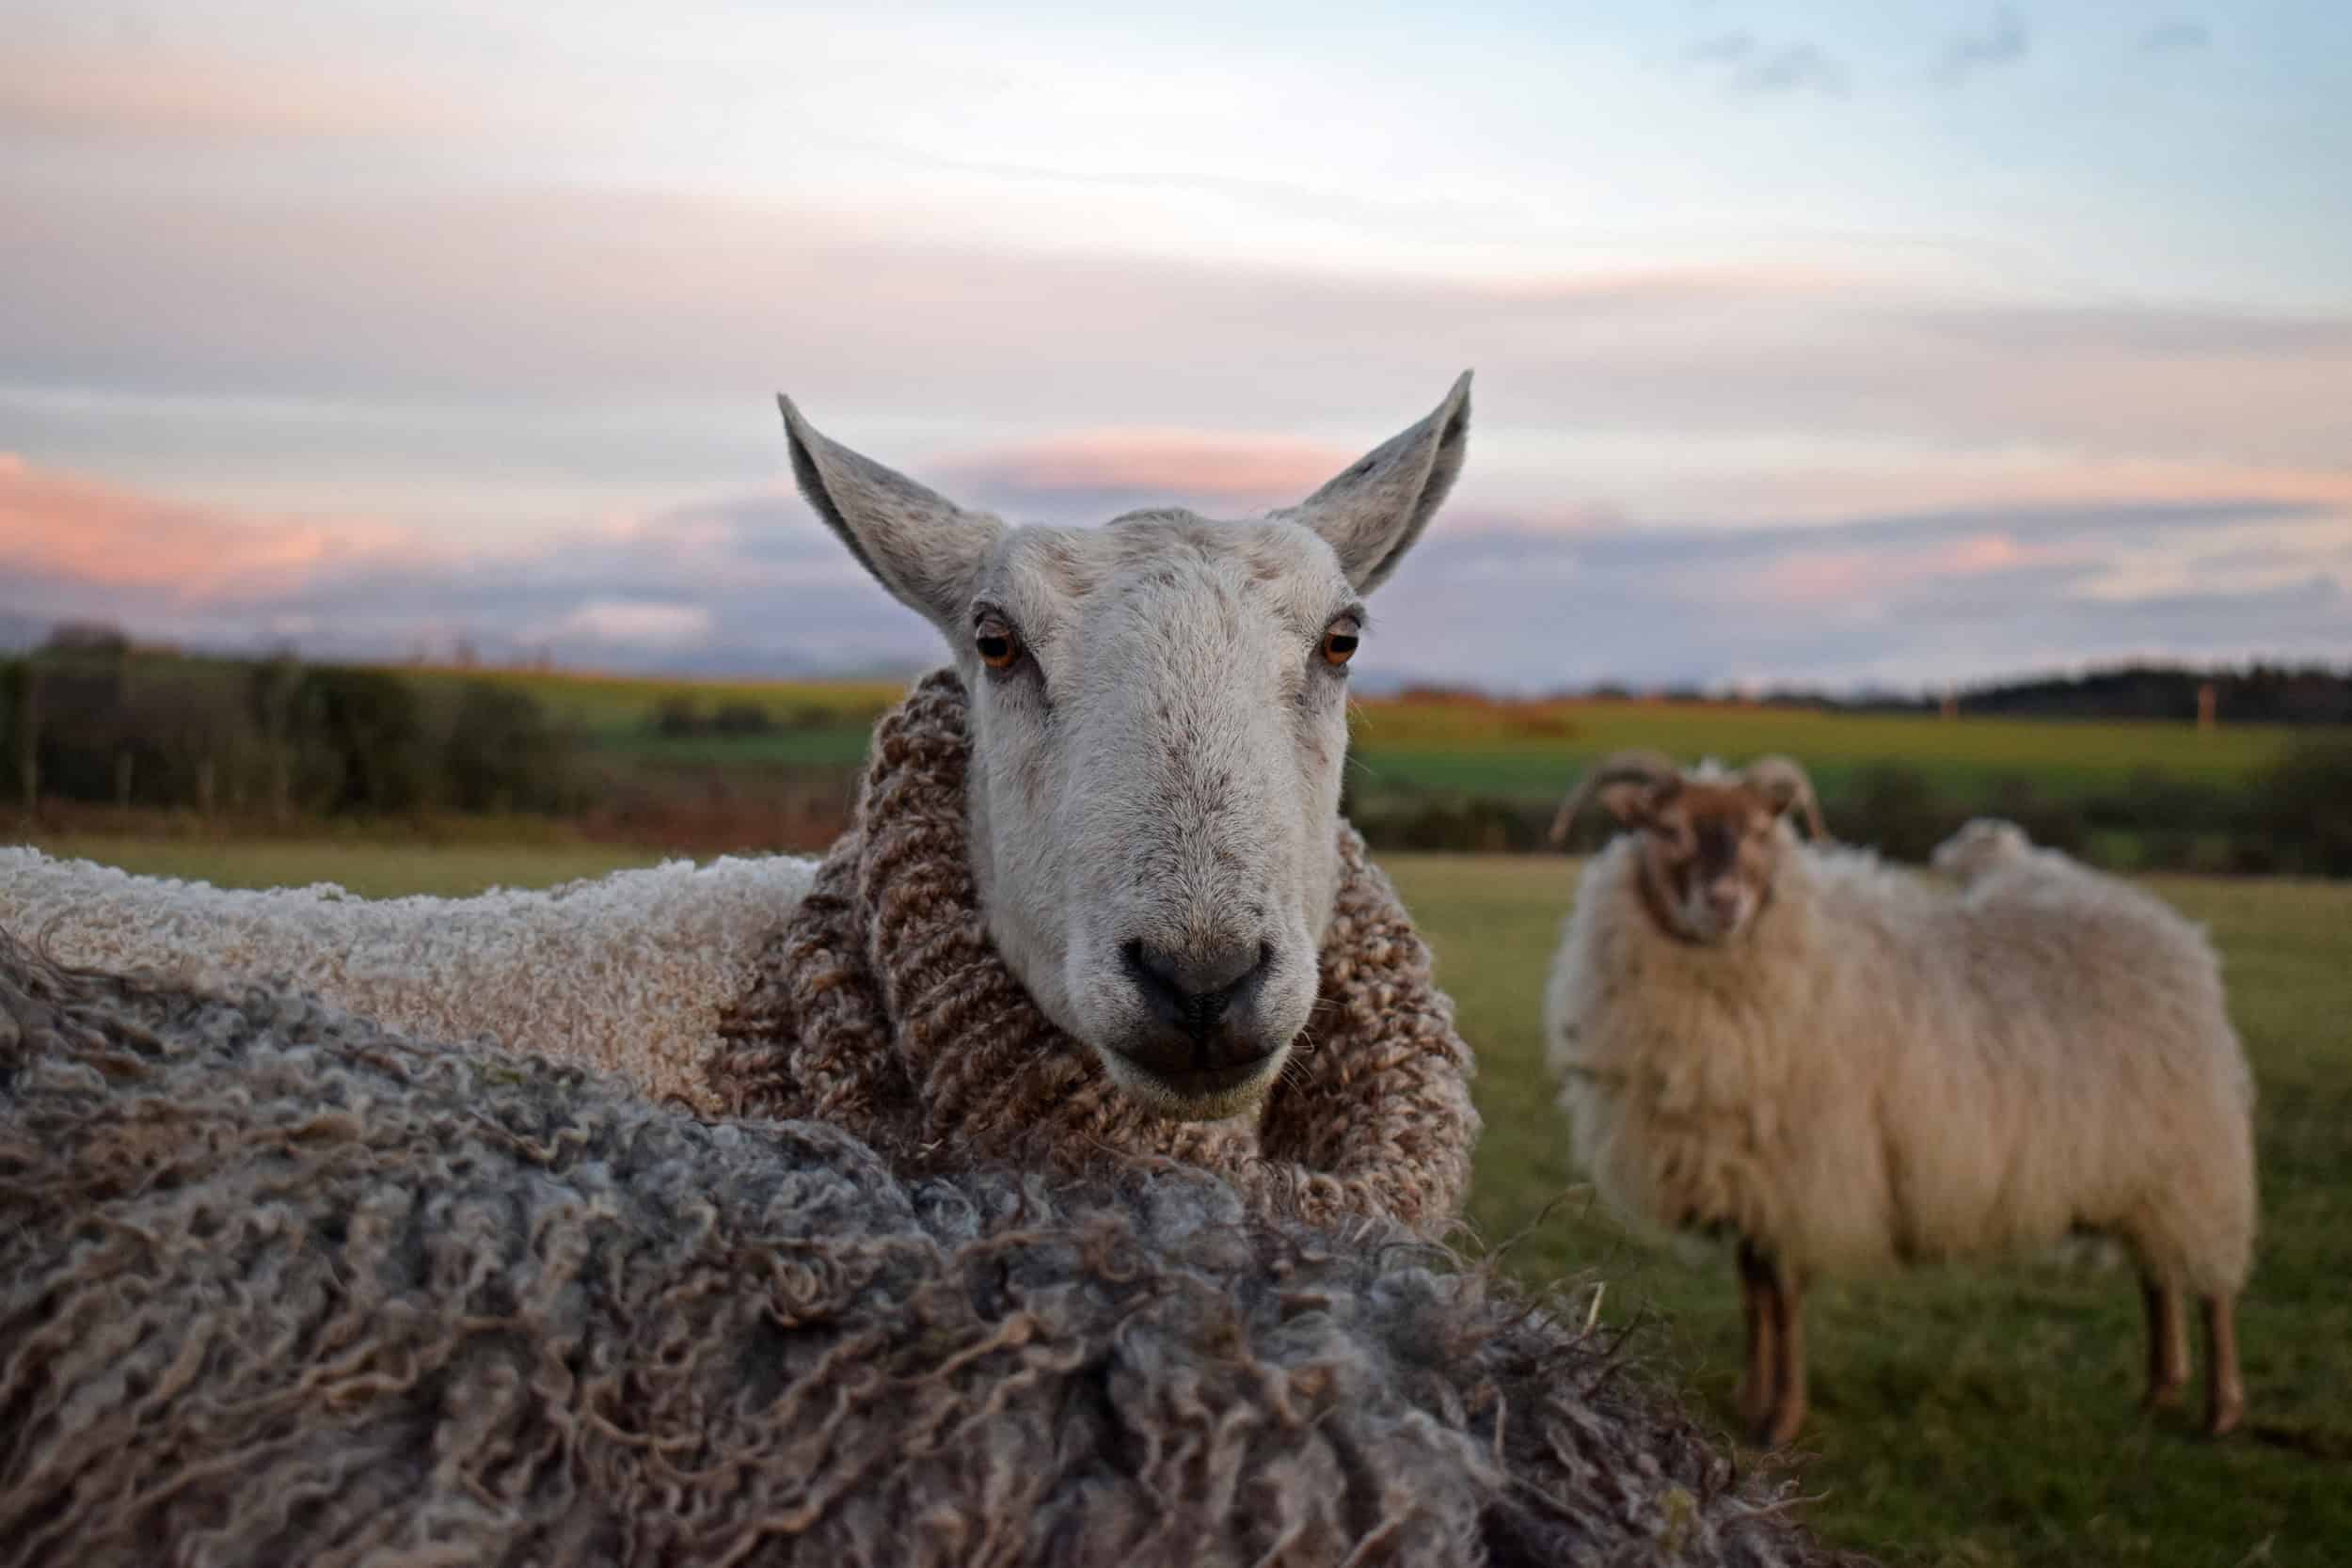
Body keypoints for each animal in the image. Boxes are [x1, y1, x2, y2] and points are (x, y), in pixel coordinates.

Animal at [1542, 751, 2257, 1446]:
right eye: (1668, 830)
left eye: (1762, 832)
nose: (1725, 903)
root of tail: (2166, 925)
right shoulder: (1749, 1178)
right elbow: (1753, 1294)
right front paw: (1749, 1400)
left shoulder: (1803, 1179)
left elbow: (1782, 1302)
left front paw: (1780, 1421)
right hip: (2143, 1167)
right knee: (2159, 1276)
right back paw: (2160, 1388)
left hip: (2194, 1156)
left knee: (2208, 1286)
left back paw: (2220, 1408)